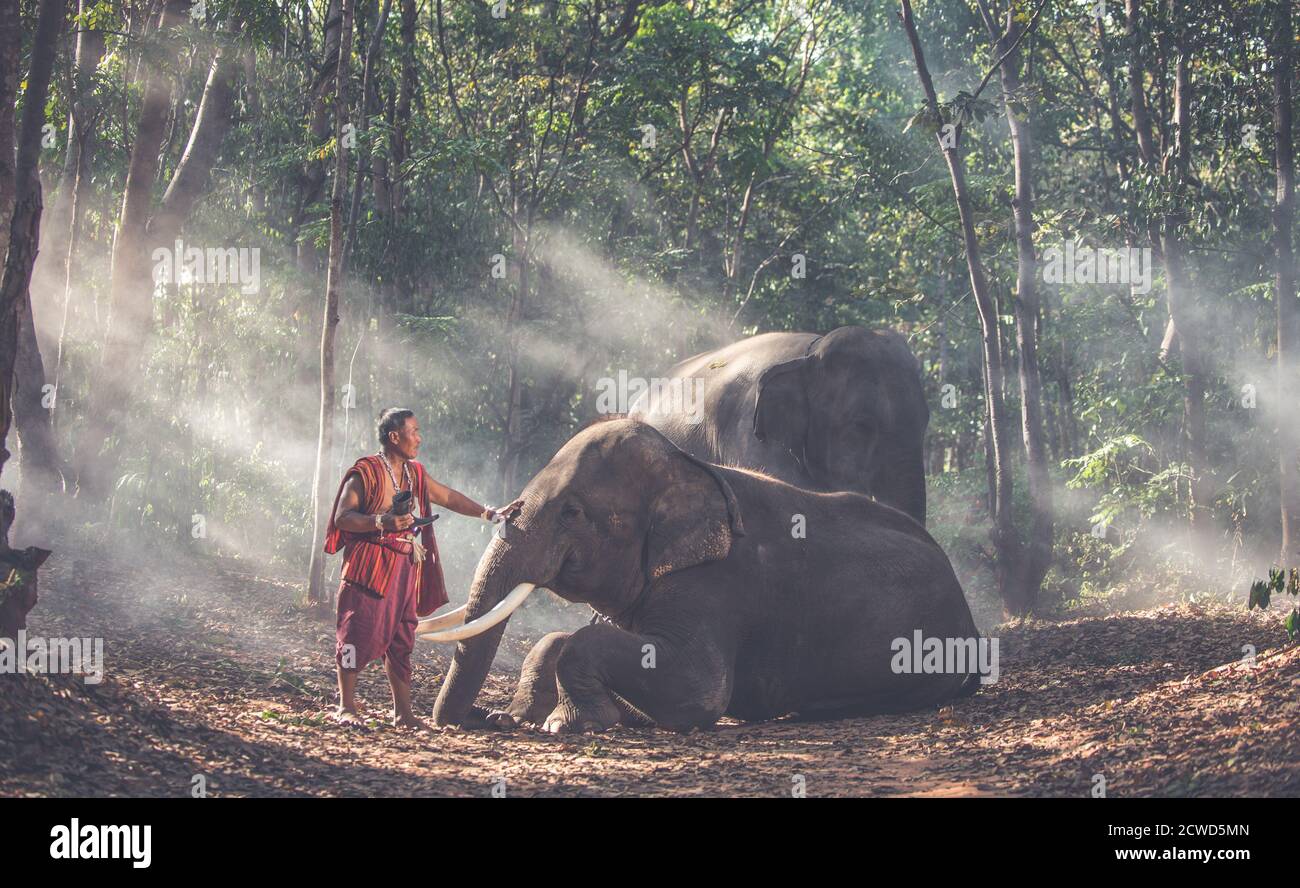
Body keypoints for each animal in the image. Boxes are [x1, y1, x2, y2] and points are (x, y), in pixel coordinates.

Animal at [424, 419, 980, 733]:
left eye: (572, 513)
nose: (472, 720)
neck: (687, 465)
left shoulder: (716, 584)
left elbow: (700, 687)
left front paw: (567, 726)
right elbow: (558, 641)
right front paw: (517, 718)